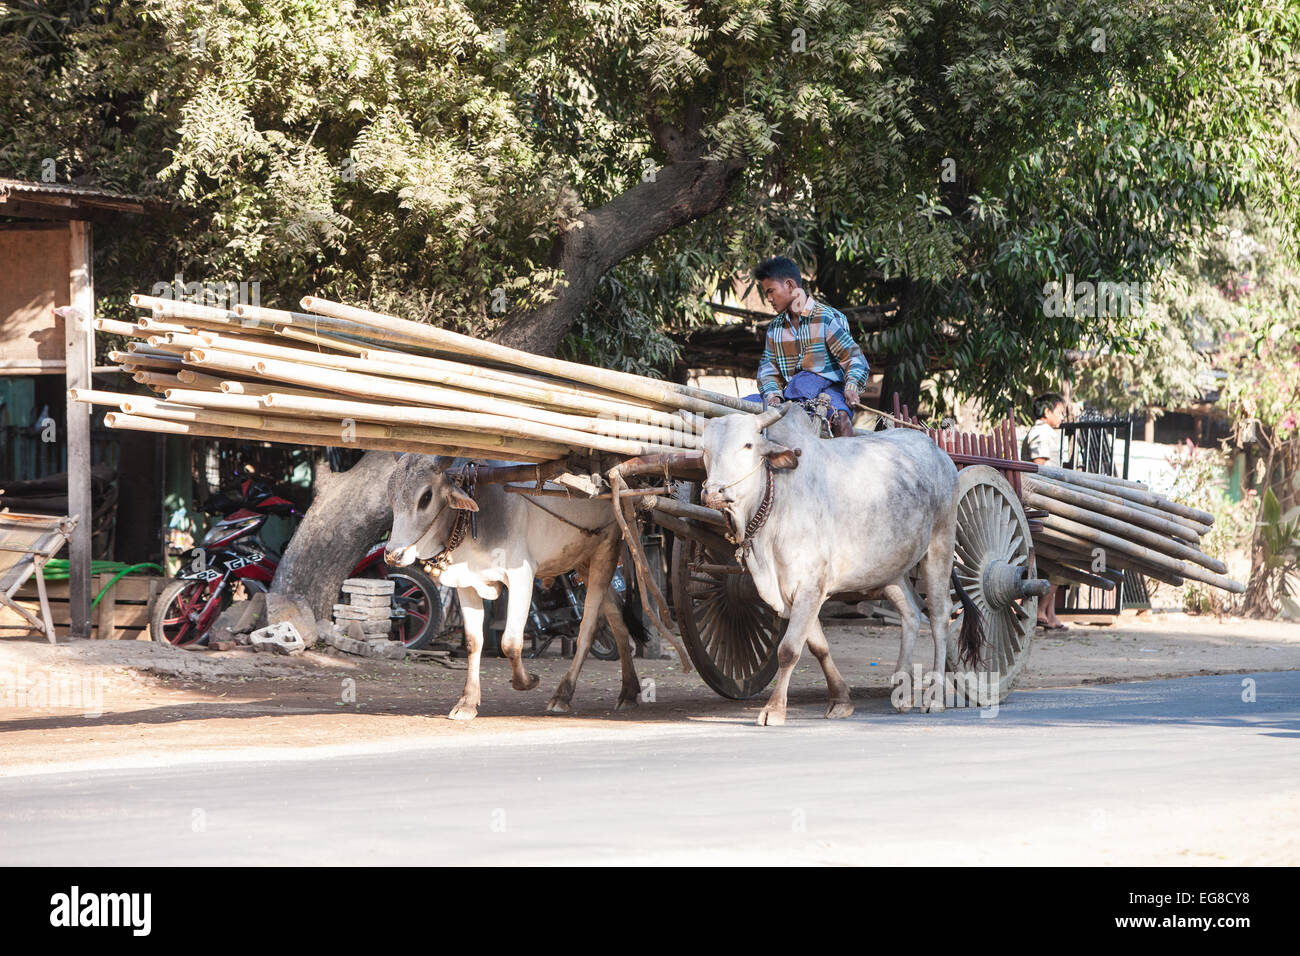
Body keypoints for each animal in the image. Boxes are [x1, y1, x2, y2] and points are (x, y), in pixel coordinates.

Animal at [385, 454, 640, 719]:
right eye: (390, 495)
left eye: (426, 497)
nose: (393, 554)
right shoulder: (466, 584)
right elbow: (473, 642)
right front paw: (467, 702)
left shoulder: (522, 576)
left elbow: (510, 642)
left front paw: (528, 682)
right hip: (582, 559)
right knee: (616, 616)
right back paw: (629, 692)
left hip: (607, 547)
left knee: (589, 627)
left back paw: (563, 694)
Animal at [699, 403, 982, 726]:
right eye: (705, 449)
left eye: (747, 445)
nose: (713, 492)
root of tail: (938, 451)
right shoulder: (792, 593)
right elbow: (818, 647)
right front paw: (841, 700)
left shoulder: (810, 586)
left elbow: (789, 650)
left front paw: (774, 709)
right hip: (889, 567)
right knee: (911, 613)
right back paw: (902, 690)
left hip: (940, 545)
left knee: (938, 617)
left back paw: (934, 697)